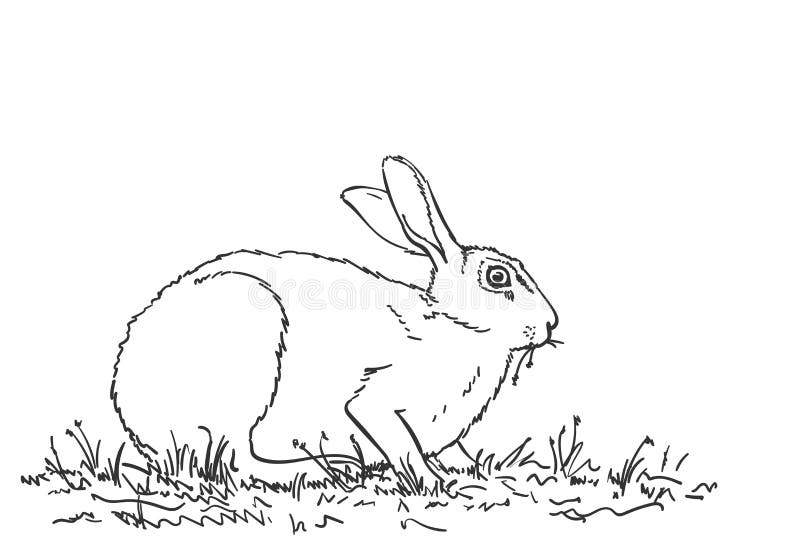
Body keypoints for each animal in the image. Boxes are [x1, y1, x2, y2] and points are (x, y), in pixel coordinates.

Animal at [110, 155, 558, 494]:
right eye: (497, 278)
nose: (551, 324)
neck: (454, 326)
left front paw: (465, 471)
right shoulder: (376, 400)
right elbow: (401, 443)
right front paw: (435, 483)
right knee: (231, 458)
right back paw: (317, 469)